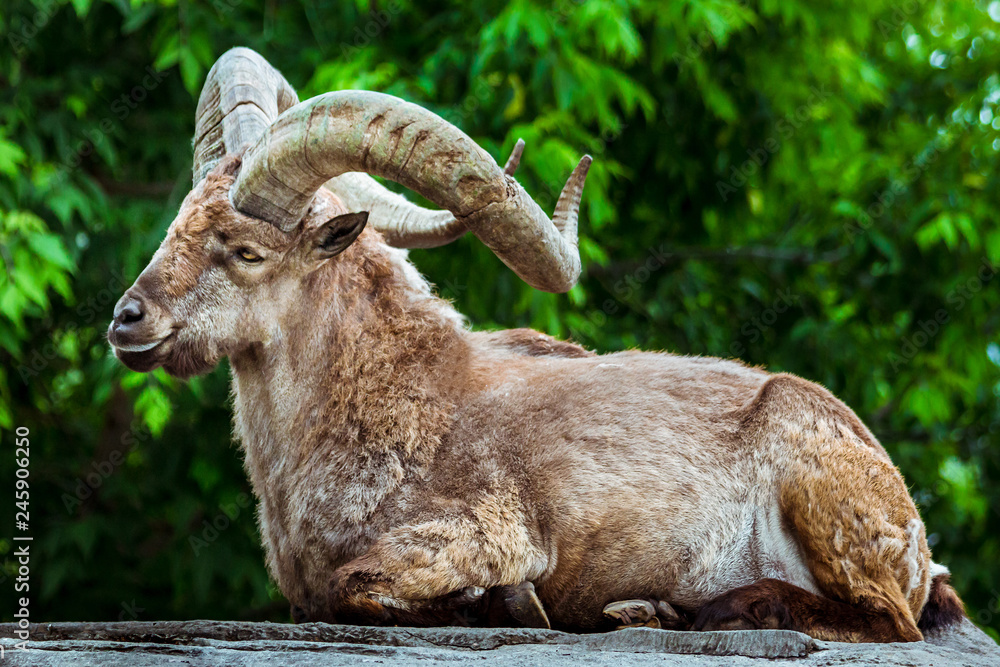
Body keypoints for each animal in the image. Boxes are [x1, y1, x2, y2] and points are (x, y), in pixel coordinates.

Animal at [108, 48, 965, 641]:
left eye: (246, 249)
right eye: (179, 219)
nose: (127, 320)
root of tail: (916, 535)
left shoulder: (488, 531)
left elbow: (364, 585)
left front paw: (511, 604)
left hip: (820, 492)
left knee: (889, 619)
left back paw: (709, 608)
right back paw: (648, 610)